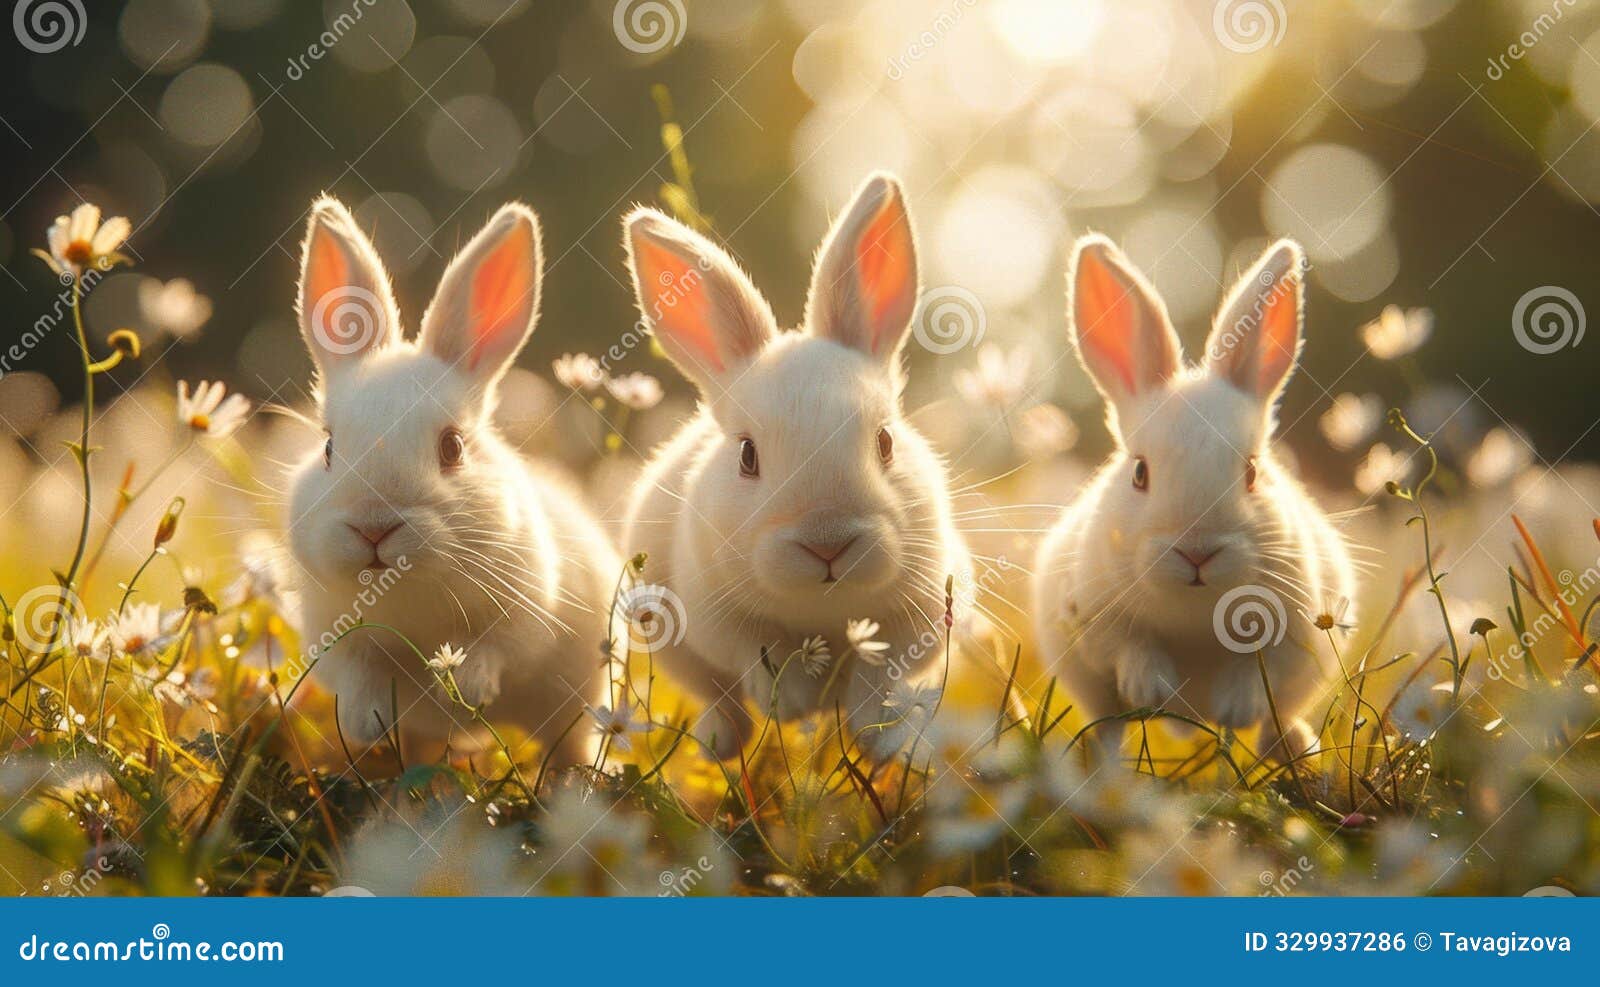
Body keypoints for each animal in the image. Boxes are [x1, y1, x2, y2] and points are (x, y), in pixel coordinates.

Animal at [284, 195, 619, 765]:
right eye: (328, 446)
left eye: (452, 447)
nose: (374, 529)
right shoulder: (334, 635)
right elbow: (357, 673)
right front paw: (366, 722)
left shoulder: (526, 611)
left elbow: (500, 648)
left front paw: (468, 690)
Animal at [618, 172, 973, 762]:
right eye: (747, 455)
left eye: (885, 441)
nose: (828, 542)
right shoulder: (716, 615)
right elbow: (756, 652)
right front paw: (795, 705)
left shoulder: (919, 613)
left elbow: (882, 672)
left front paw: (873, 732)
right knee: (718, 697)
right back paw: (719, 744)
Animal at [1033, 234, 1356, 761]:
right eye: (1139, 472)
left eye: (1252, 472)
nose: (1198, 552)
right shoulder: (1095, 617)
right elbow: (1127, 646)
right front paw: (1153, 688)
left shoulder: (1295, 631)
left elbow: (1261, 669)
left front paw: (1234, 709)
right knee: (1107, 728)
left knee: (1278, 720)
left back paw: (1294, 748)